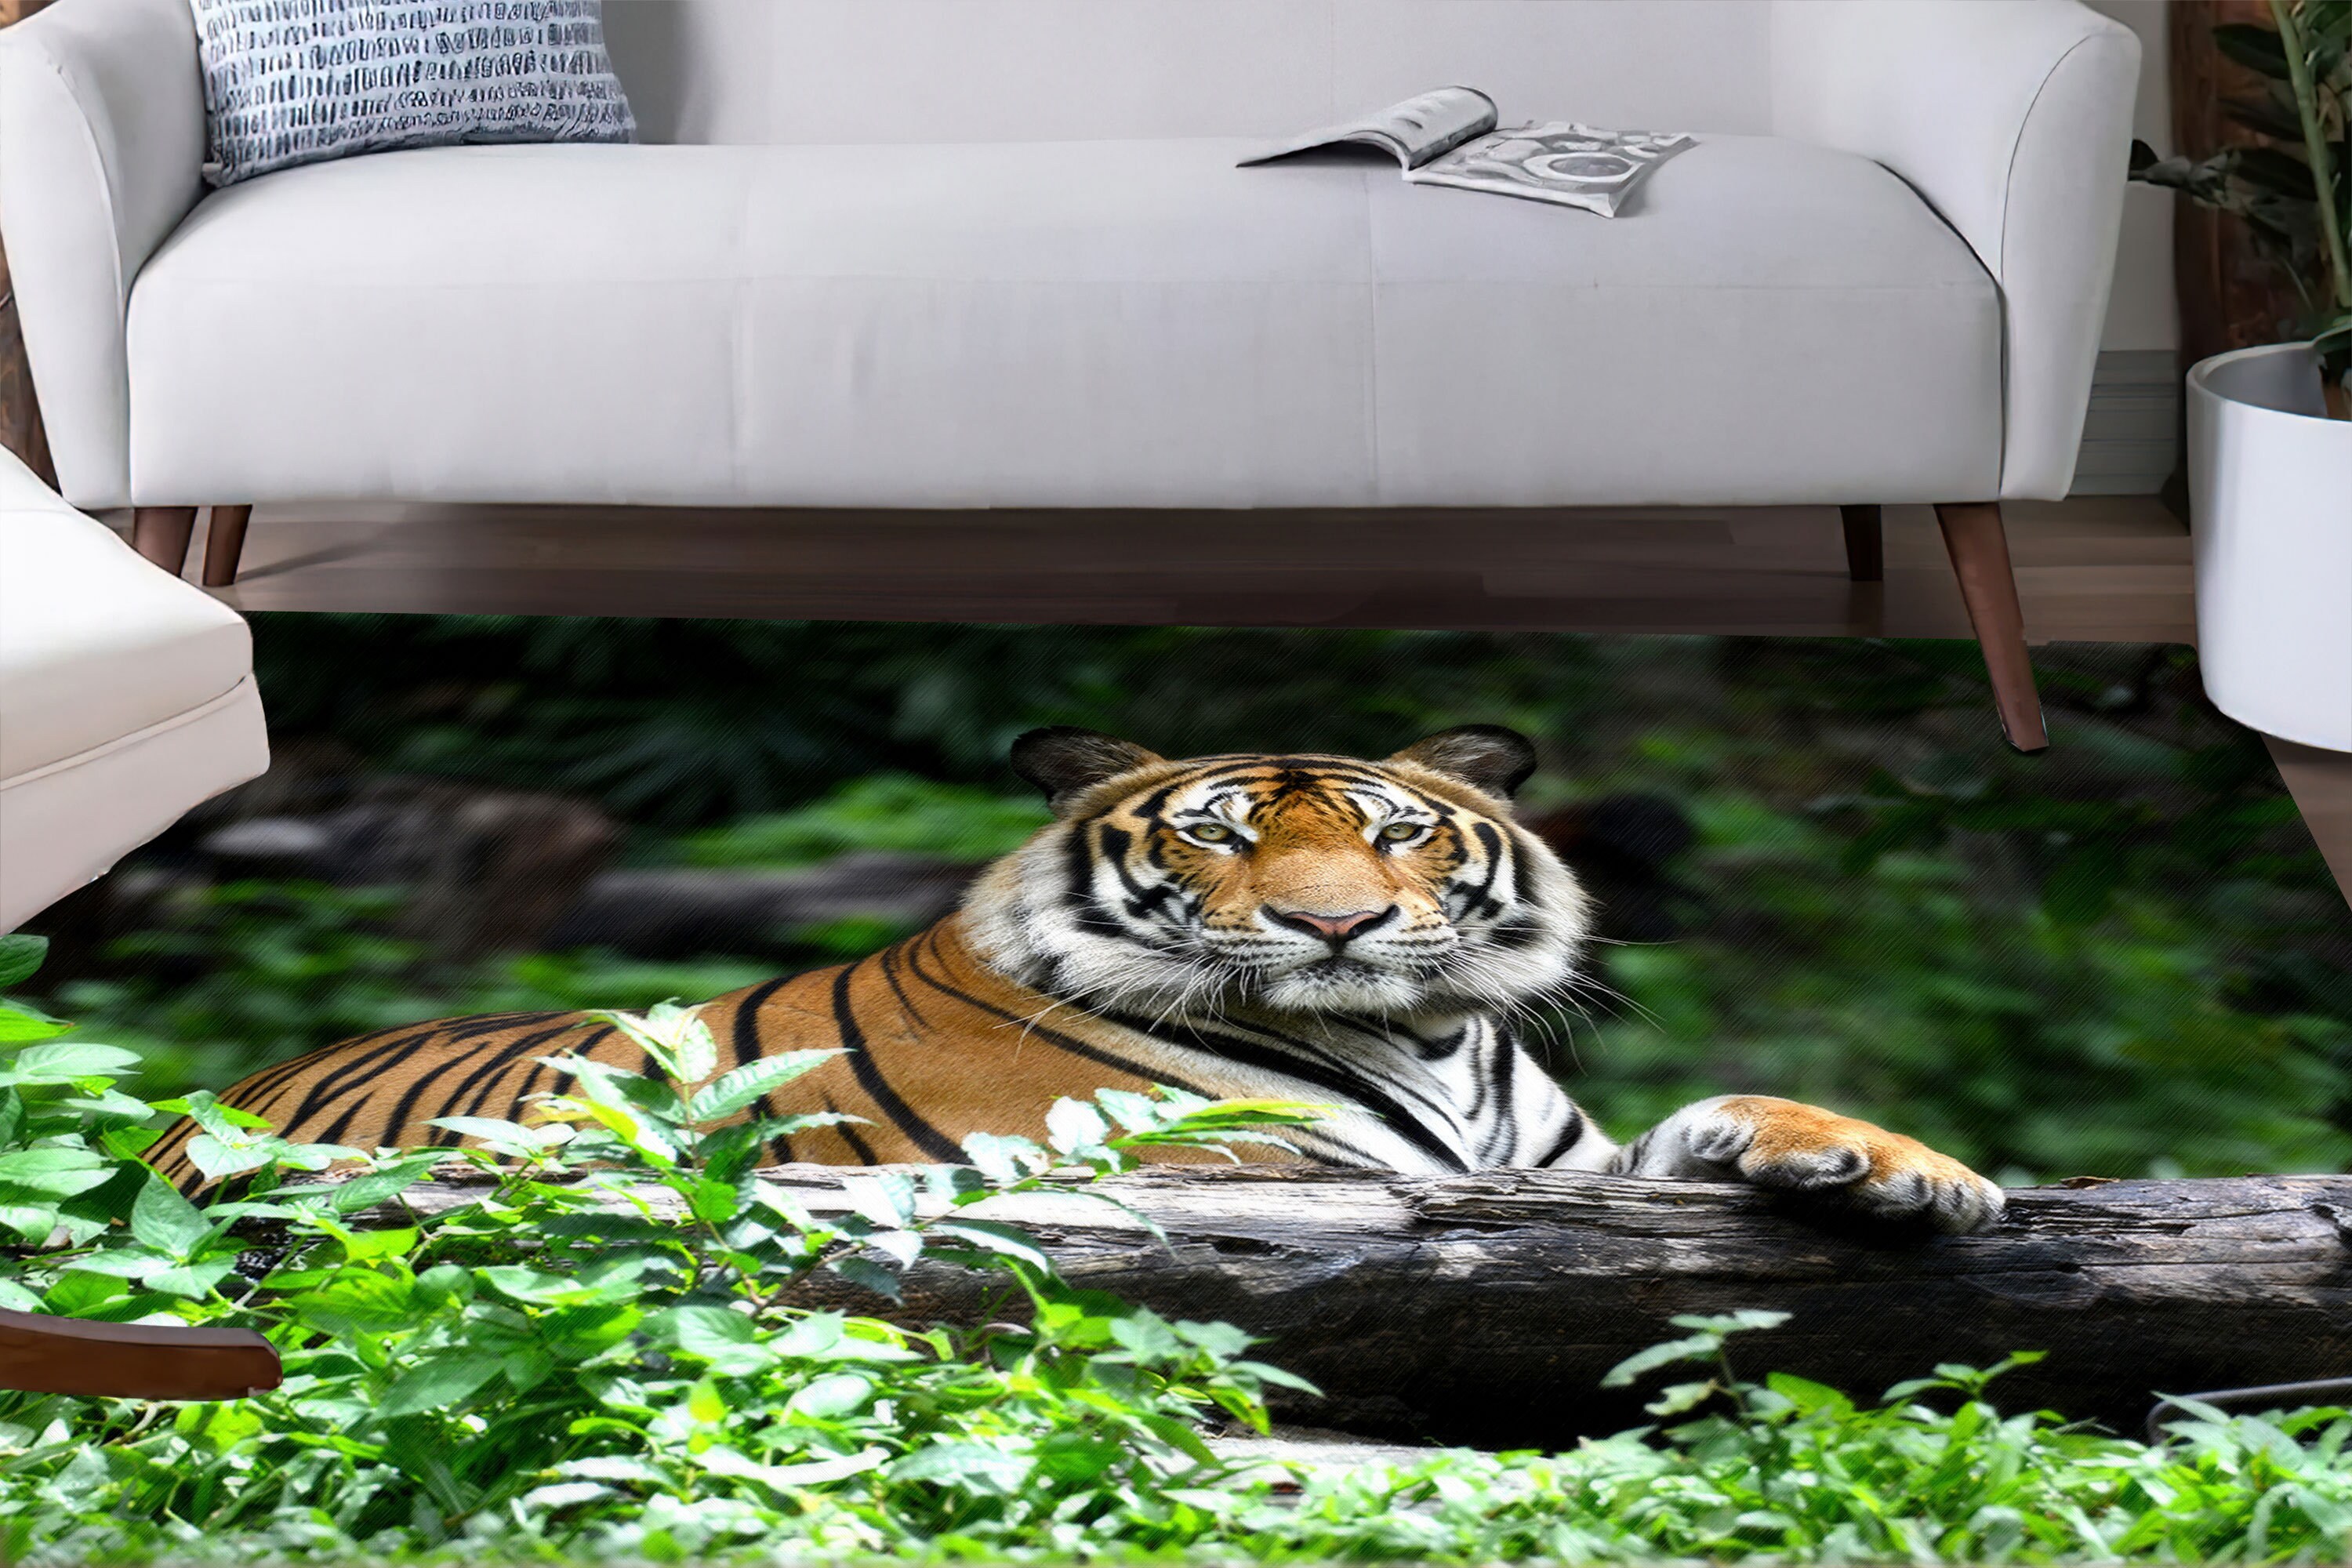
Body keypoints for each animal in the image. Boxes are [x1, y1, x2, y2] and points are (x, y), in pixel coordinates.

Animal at [149, 725, 2005, 1232]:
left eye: (1402, 835)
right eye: (1218, 837)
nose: (1338, 927)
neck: (1427, 1041)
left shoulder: (1571, 1157)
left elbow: (1719, 1115)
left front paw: (1904, 1168)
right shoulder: (1234, 1167)